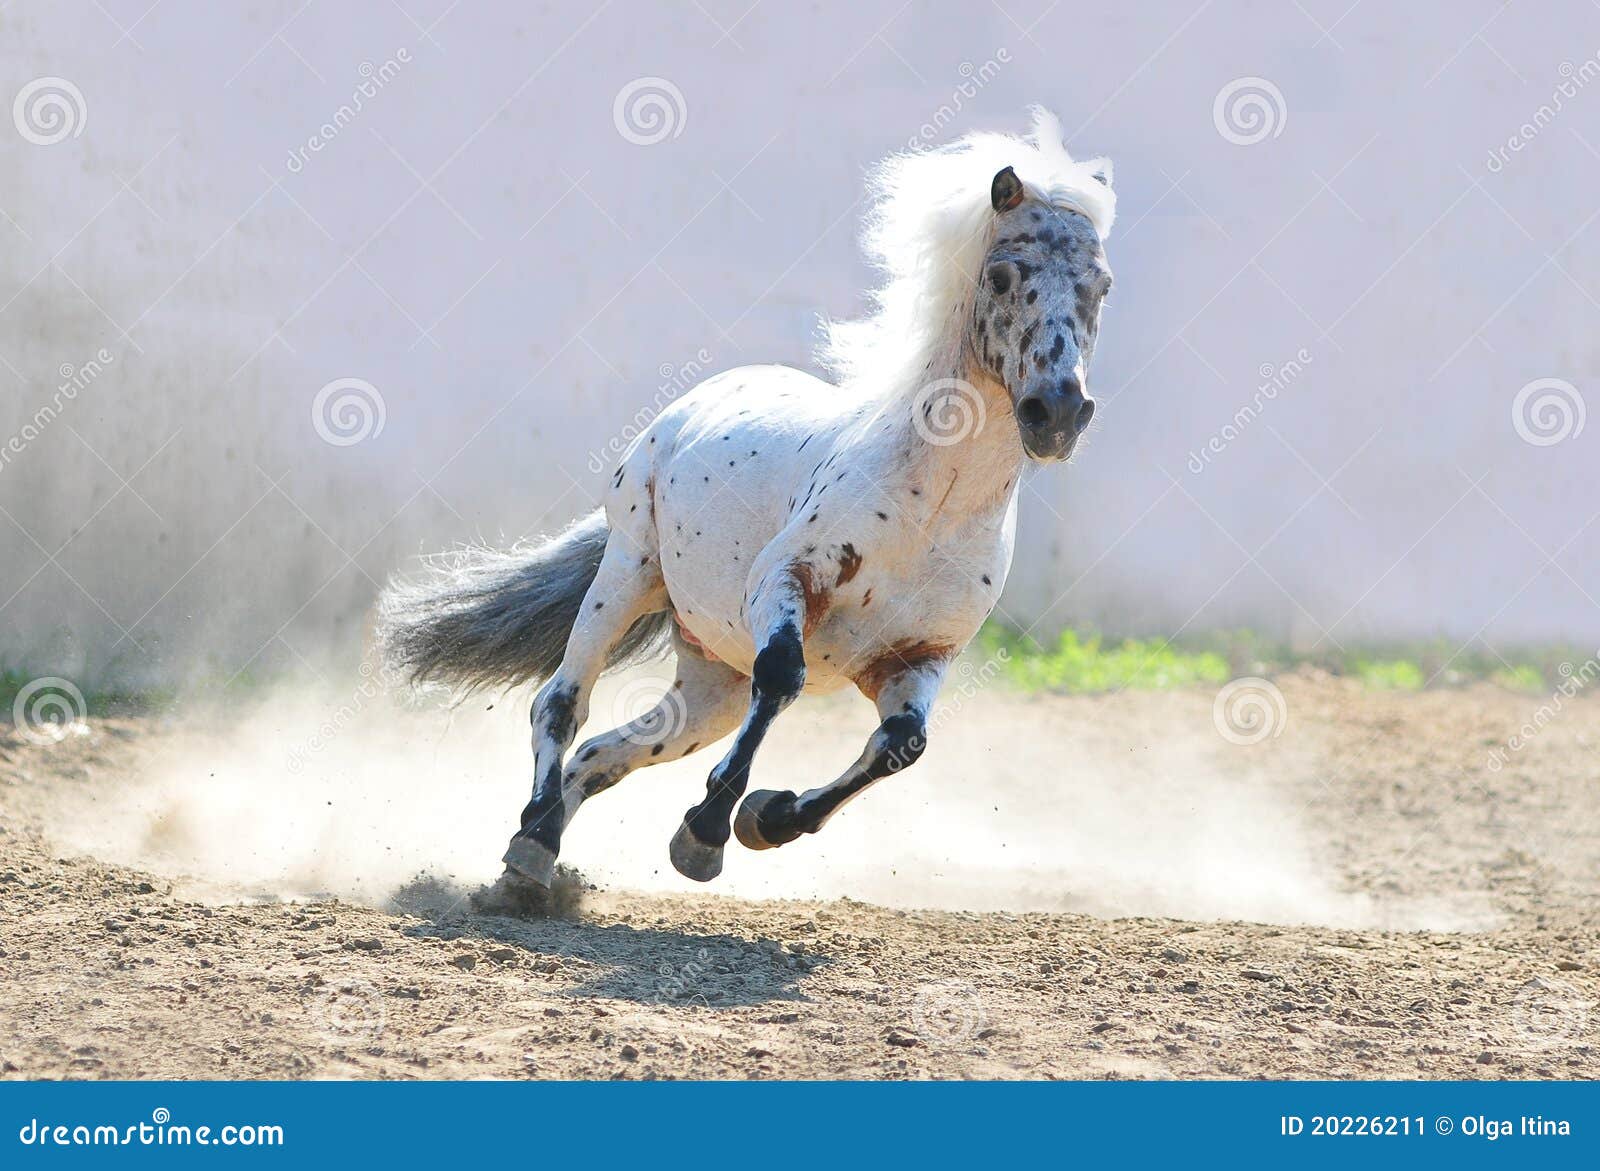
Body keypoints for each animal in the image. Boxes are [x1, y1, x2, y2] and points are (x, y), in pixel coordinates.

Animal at [378, 108, 1116, 894]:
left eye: (1101, 285)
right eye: (1004, 275)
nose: (1057, 413)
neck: (934, 507)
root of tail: (694, 402)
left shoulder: (919, 656)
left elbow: (902, 744)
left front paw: (765, 818)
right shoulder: (784, 585)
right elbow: (785, 677)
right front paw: (705, 833)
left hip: (712, 680)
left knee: (609, 752)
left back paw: (540, 854)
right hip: (629, 572)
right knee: (561, 702)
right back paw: (529, 845)